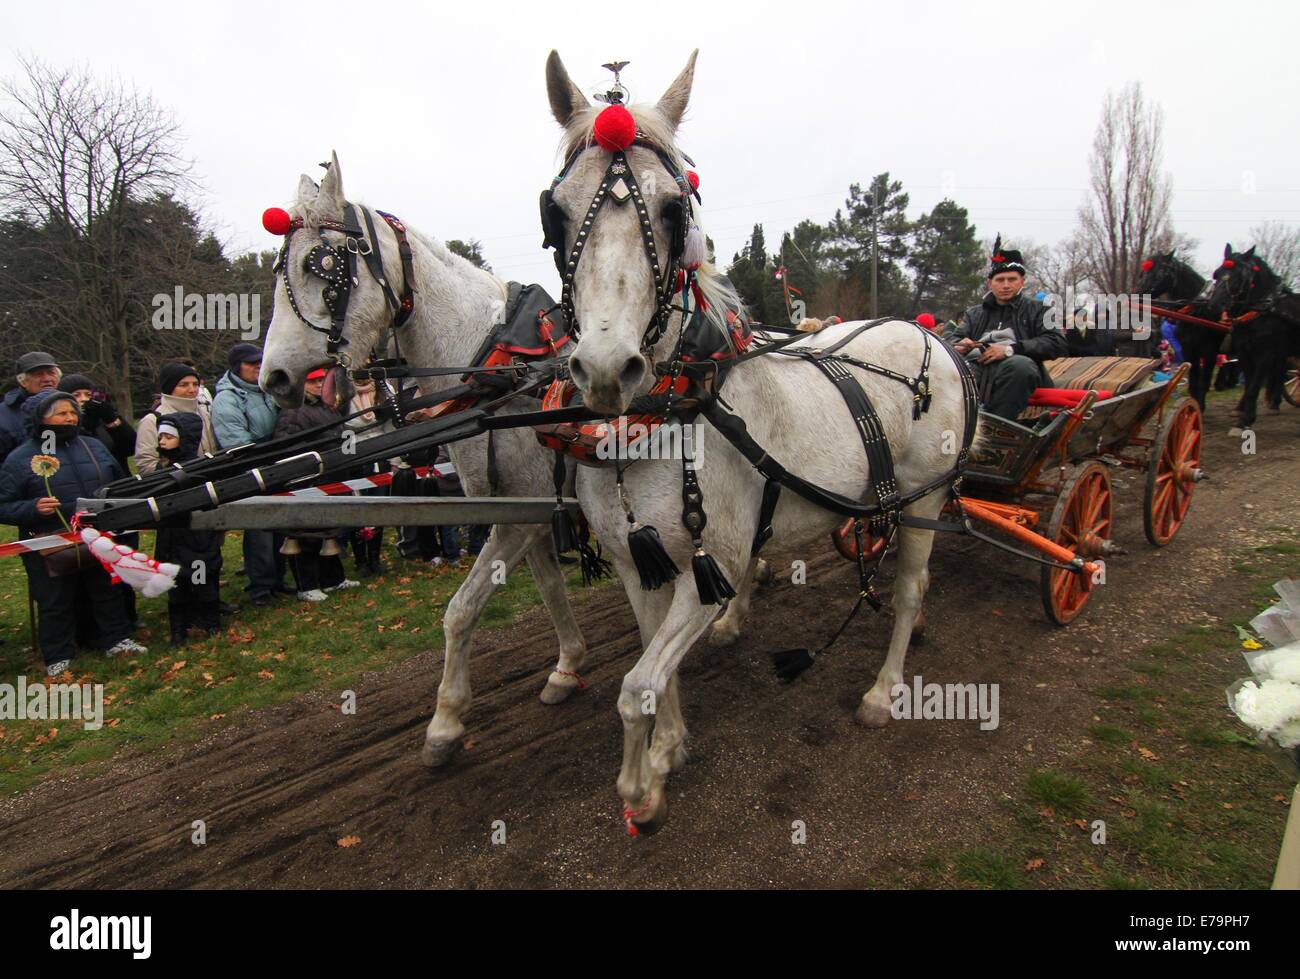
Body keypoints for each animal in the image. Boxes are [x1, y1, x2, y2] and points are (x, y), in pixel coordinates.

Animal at [258, 157, 596, 767]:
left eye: (321, 264)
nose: (273, 377)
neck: (496, 367)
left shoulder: (524, 519)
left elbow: (461, 610)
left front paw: (444, 721)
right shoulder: (525, 510)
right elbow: (550, 587)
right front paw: (566, 665)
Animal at [542, 50, 977, 832]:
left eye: (673, 208)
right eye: (556, 212)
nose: (606, 369)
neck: (663, 417)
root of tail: (932, 334)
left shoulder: (710, 568)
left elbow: (635, 686)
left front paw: (639, 787)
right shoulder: (636, 564)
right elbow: (655, 671)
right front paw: (669, 750)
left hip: (926, 500)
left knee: (907, 588)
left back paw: (884, 689)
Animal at [1135, 252, 1221, 411]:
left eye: (1161, 272)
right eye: (1143, 272)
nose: (1137, 294)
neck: (1198, 310)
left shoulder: (1210, 351)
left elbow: (1204, 381)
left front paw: (1199, 407)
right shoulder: (1189, 349)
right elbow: (1194, 381)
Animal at [1205, 244, 1300, 430]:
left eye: (1239, 277)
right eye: (1217, 273)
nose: (1214, 305)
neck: (1263, 311)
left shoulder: (1265, 354)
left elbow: (1254, 385)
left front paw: (1245, 420)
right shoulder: (1244, 352)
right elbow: (1249, 384)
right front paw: (1244, 415)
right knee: (1279, 372)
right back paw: (1274, 404)